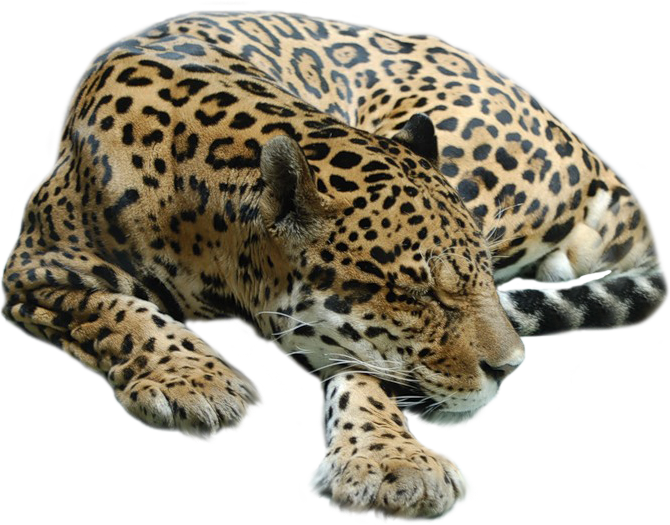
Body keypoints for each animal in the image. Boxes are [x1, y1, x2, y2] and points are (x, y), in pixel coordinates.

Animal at [1, 9, 668, 522]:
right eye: (417, 293)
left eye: (473, 275)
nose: (510, 369)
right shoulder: (37, 263)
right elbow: (120, 310)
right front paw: (197, 380)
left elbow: (366, 374)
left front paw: (395, 460)